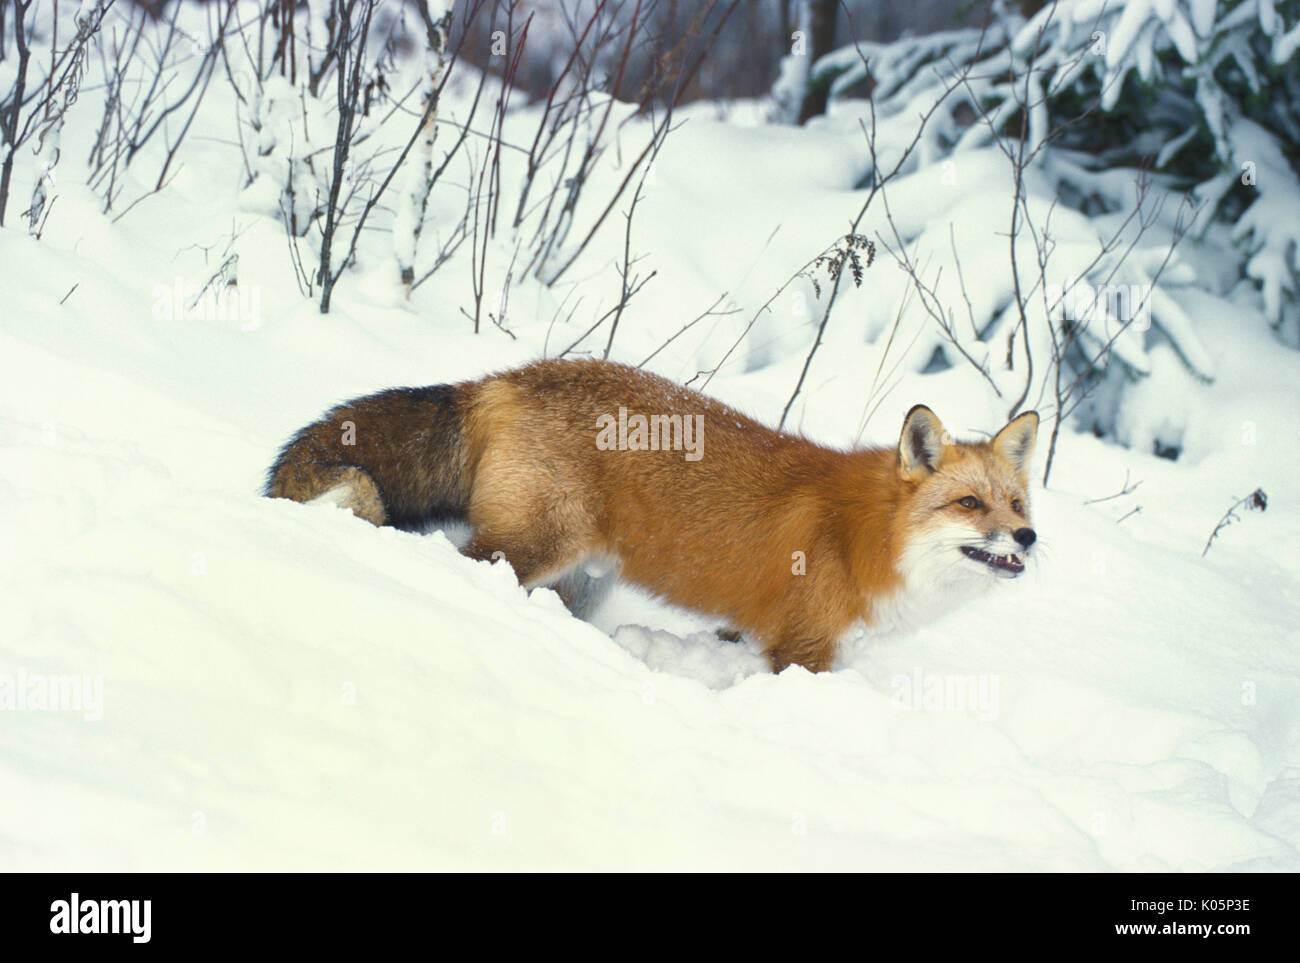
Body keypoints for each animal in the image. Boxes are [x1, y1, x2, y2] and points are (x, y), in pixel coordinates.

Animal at [265, 358, 1039, 673]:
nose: (1028, 537)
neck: (867, 538)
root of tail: (507, 378)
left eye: (1017, 502)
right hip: (534, 545)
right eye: (969, 503)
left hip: (582, 579)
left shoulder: (751, 632)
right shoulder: (801, 647)